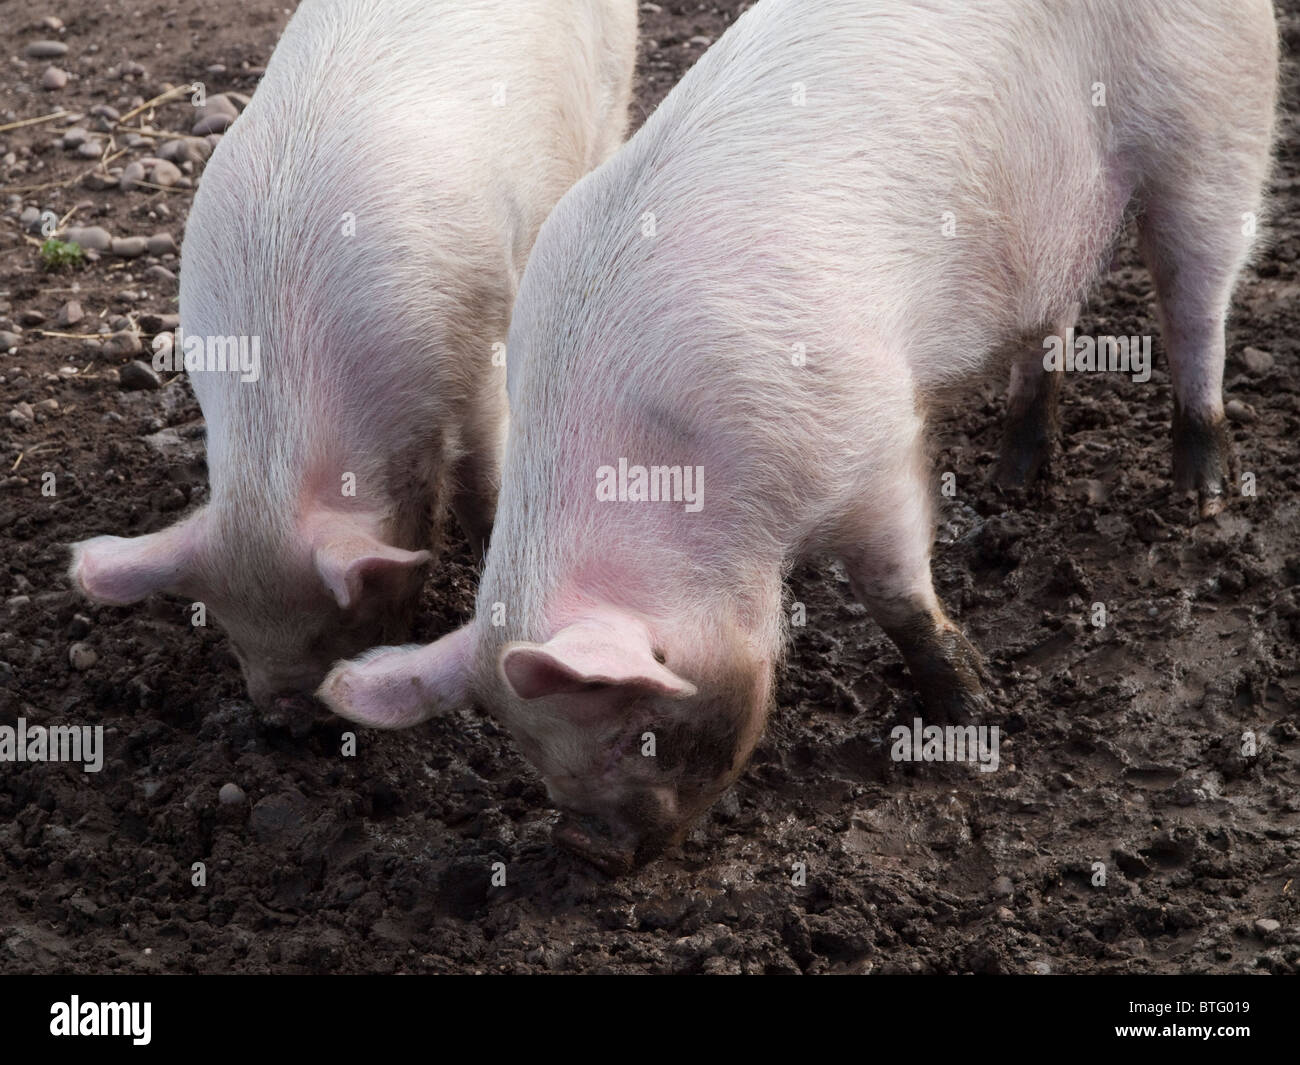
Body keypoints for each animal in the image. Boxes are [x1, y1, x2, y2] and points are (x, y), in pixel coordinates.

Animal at [319, 0, 1278, 872]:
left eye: (636, 732)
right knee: (1059, 311)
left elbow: (896, 594)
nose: (585, 848)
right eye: (530, 753)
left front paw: (975, 715)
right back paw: (1013, 480)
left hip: (1216, 119)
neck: (698, 483)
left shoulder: (870, 439)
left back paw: (1201, 494)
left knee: (1199, 296)